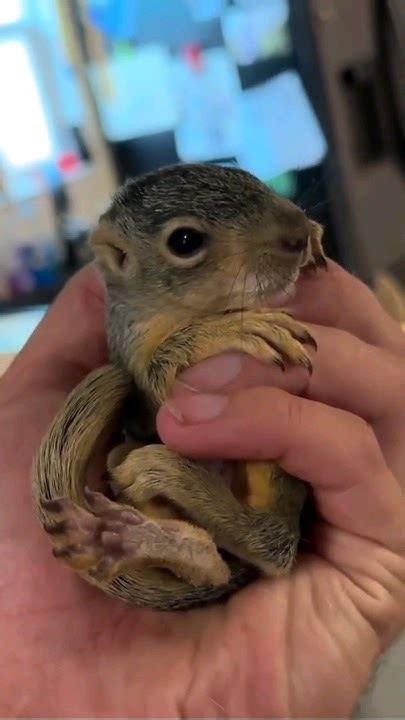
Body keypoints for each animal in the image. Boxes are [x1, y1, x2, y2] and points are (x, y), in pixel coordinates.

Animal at [32, 163, 326, 610]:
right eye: (184, 242)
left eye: (243, 174)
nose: (295, 231)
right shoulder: (137, 366)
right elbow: (158, 377)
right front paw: (226, 330)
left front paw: (317, 234)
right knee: (265, 550)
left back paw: (126, 538)